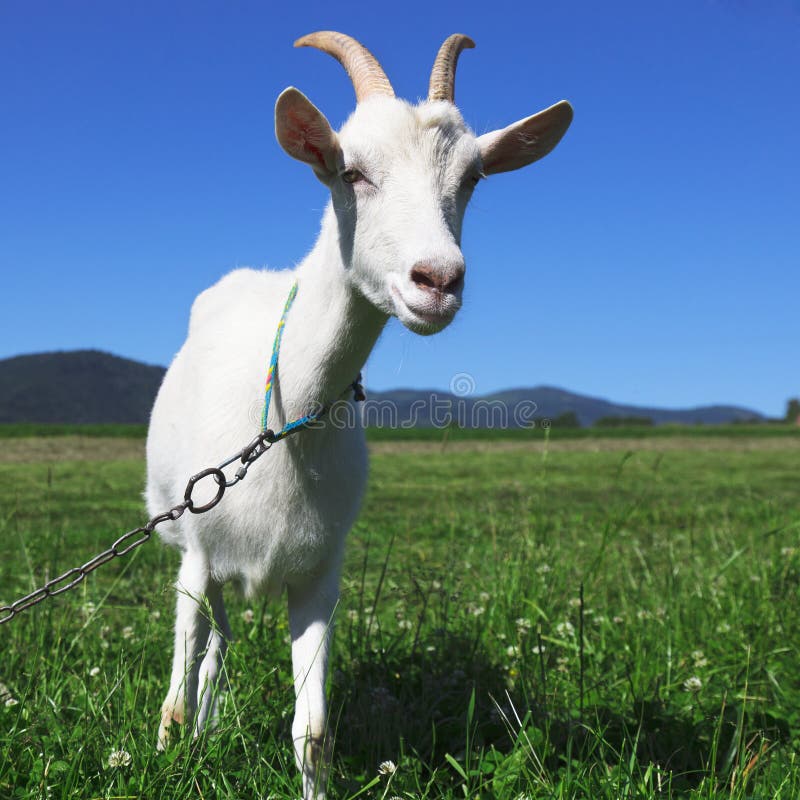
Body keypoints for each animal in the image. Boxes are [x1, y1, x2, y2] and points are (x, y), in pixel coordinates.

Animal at [145, 31, 572, 799]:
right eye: (351, 171)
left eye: (473, 178)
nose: (437, 280)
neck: (284, 425)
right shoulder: (196, 553)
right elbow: (176, 683)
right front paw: (168, 755)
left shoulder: (320, 574)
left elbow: (312, 732)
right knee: (209, 644)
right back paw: (198, 733)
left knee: (224, 642)